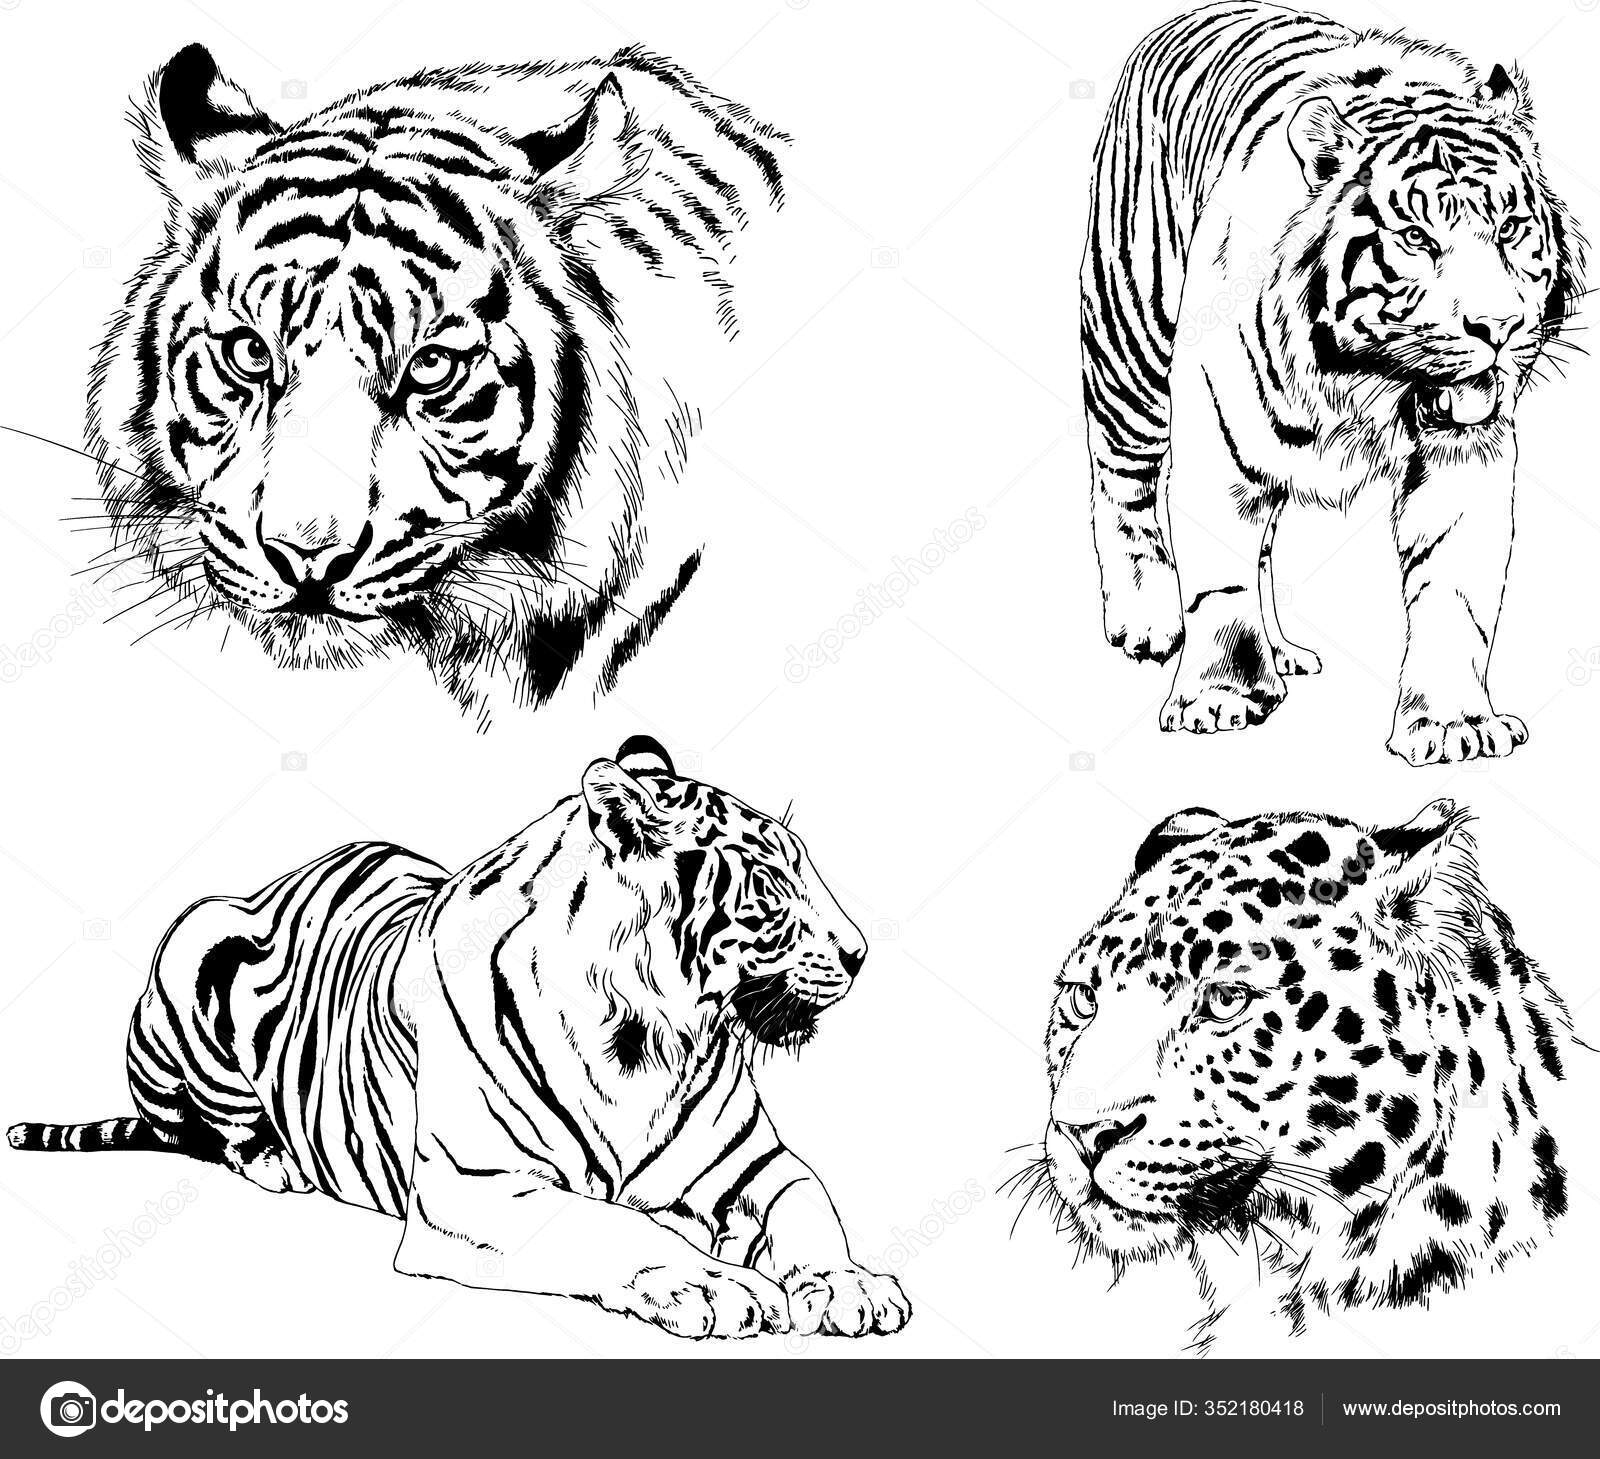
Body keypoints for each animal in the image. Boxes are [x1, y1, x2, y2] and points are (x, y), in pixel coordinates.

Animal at [8, 737, 910, 1341]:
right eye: (770, 882)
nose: (862, 952)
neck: (655, 1034)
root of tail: (279, 878)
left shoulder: (757, 1163)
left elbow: (812, 1212)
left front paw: (850, 1285)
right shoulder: (475, 1186)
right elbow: (610, 1224)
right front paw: (713, 1283)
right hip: (196, 938)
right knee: (204, 1124)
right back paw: (274, 1161)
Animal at [1082, 2, 1583, 764]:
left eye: (1510, 229)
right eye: (1417, 239)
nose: (1497, 327)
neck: (1366, 383)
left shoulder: (1466, 461)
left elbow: (1455, 592)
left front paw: (1452, 724)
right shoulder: (1220, 446)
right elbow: (1220, 580)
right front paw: (1219, 698)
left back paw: (1282, 652)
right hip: (1129, 349)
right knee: (1122, 488)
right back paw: (1145, 622)